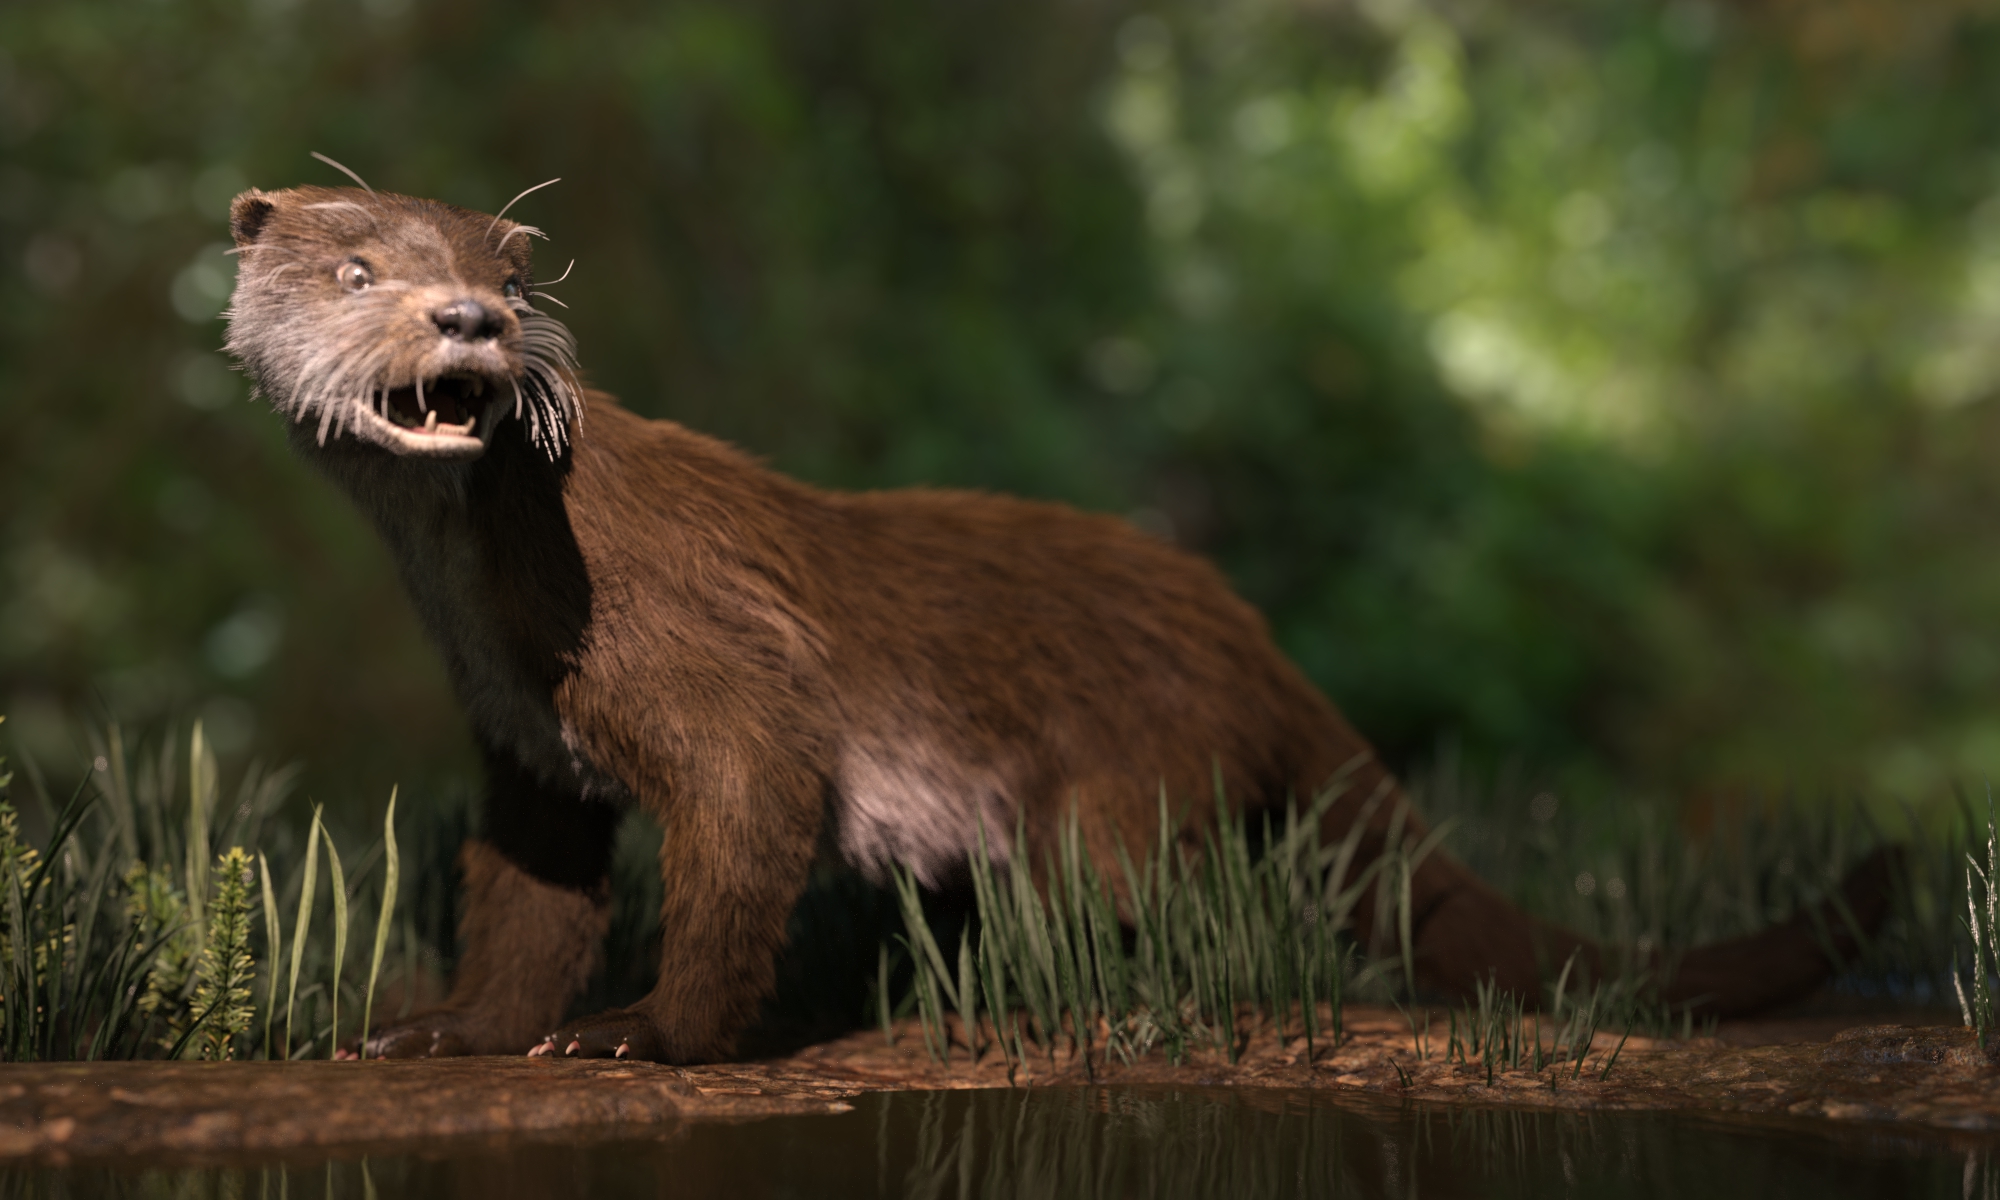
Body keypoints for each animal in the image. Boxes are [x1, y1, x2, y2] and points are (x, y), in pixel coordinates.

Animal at [222, 177, 1890, 1062]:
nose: (469, 321)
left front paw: (649, 1031)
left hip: (1124, 781)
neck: (495, 586)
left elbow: (749, 808)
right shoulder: (526, 743)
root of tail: (1246, 631)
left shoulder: (695, 658)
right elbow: (528, 902)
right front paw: (448, 1028)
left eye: (500, 268)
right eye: (356, 265)